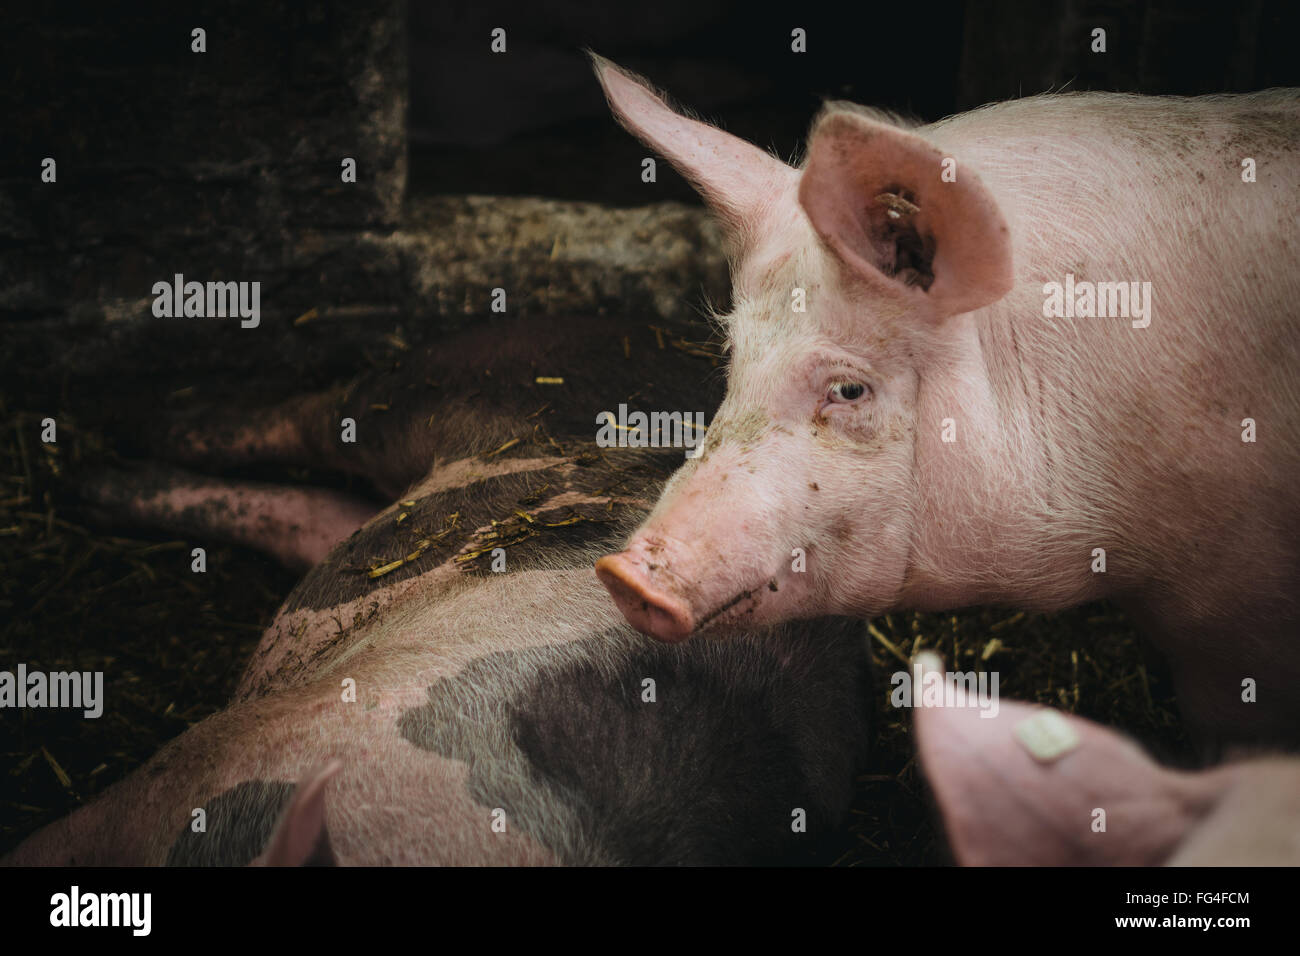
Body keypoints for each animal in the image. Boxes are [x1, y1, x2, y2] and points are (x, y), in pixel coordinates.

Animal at [3, 314, 872, 866]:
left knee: (316, 519)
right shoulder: (187, 775)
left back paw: (91, 478)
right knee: (296, 412)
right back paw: (102, 436)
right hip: (452, 371)